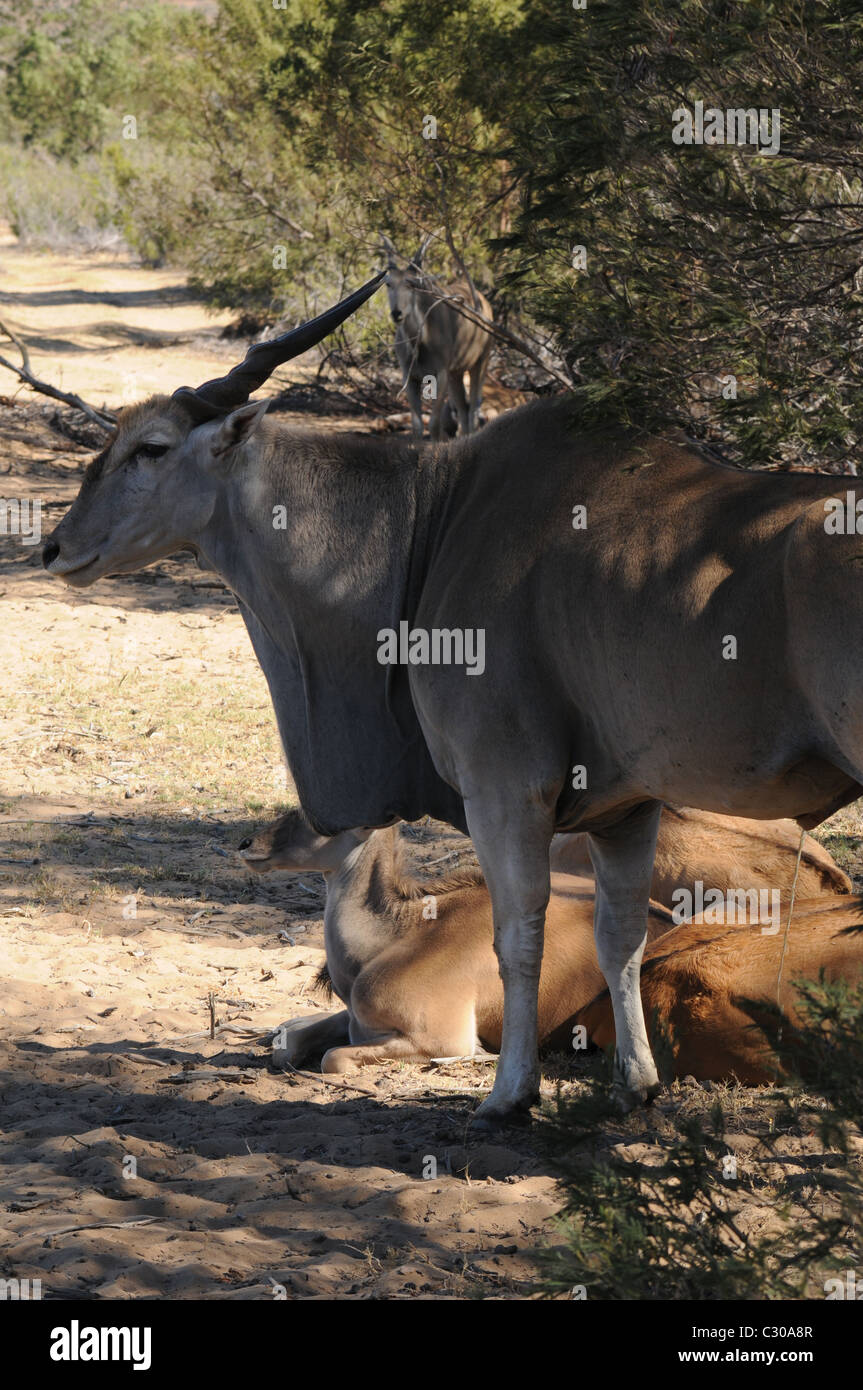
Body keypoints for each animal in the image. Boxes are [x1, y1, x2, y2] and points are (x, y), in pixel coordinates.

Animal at [41, 269, 863, 1128]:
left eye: (151, 448)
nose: (54, 547)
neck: (429, 517)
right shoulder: (625, 808)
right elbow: (621, 937)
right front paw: (635, 1084)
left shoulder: (504, 786)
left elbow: (517, 935)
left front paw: (508, 1095)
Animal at [380, 234, 492, 439]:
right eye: (388, 284)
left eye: (412, 284)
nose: (396, 313)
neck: (419, 342)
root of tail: (484, 303)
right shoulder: (410, 378)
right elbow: (417, 426)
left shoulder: (441, 374)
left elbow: (433, 424)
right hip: (456, 372)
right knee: (463, 409)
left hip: (481, 362)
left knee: (473, 407)